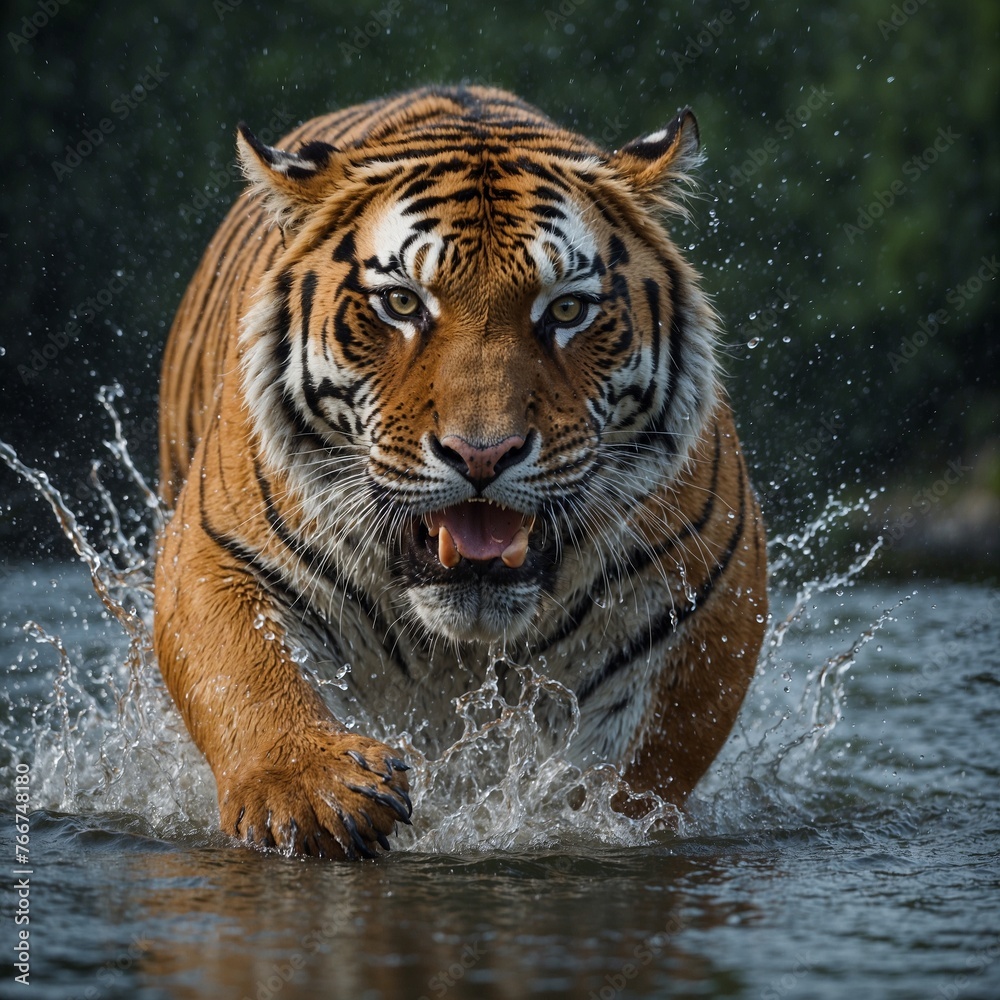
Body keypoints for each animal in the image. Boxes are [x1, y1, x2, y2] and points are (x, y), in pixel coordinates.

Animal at [154, 85, 768, 860]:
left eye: (567, 308)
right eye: (403, 303)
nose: (482, 454)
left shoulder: (708, 590)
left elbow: (632, 767)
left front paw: (576, 814)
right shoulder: (214, 550)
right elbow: (245, 674)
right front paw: (311, 793)